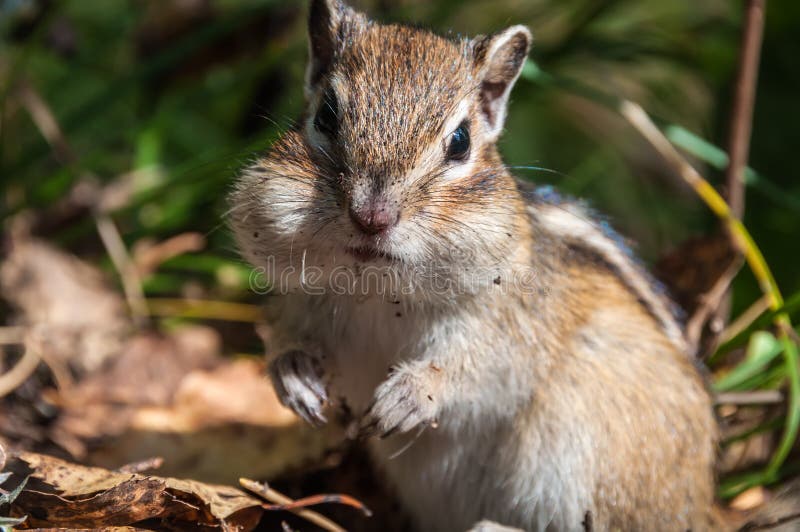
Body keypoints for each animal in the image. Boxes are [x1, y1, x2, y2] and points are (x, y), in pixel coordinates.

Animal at [230, 1, 797, 530]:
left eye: (460, 141)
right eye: (326, 115)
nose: (372, 216)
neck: (374, 290)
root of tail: (702, 508)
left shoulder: (509, 328)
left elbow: (475, 366)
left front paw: (414, 392)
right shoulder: (297, 300)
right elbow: (282, 337)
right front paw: (292, 374)